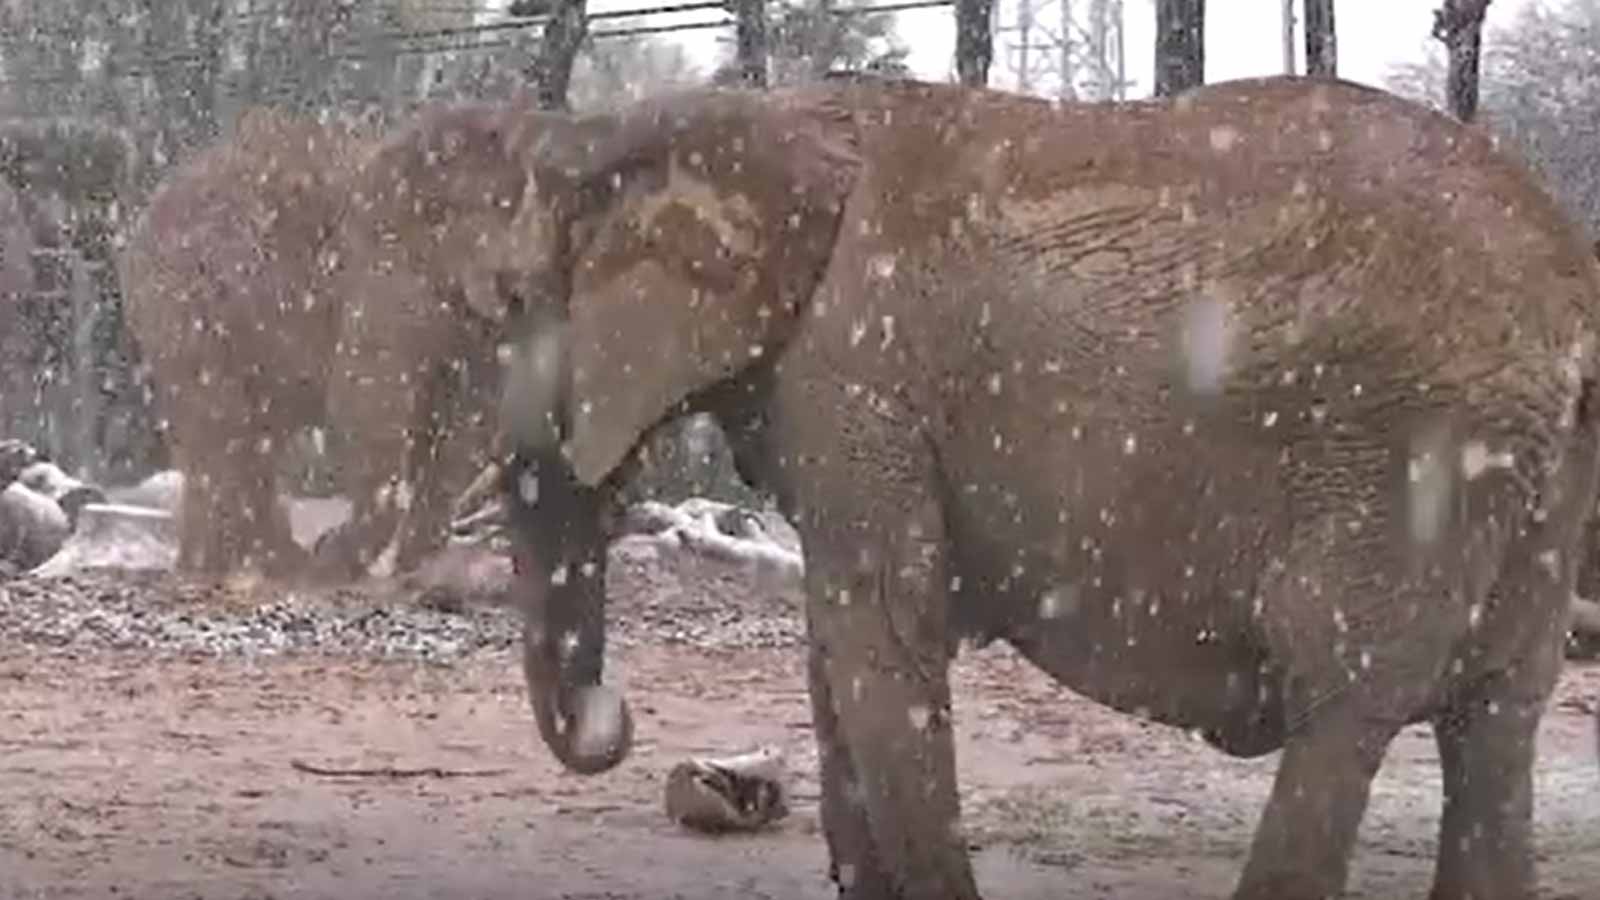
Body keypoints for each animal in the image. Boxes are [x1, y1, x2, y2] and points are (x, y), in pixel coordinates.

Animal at [466, 75, 1600, 900]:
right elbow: (838, 647)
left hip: (1412, 458)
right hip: (1537, 490)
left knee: (1345, 710)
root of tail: (1570, 292)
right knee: (1499, 721)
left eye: (518, 303)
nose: (619, 717)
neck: (768, 116)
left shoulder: (857, 375)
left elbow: (884, 632)